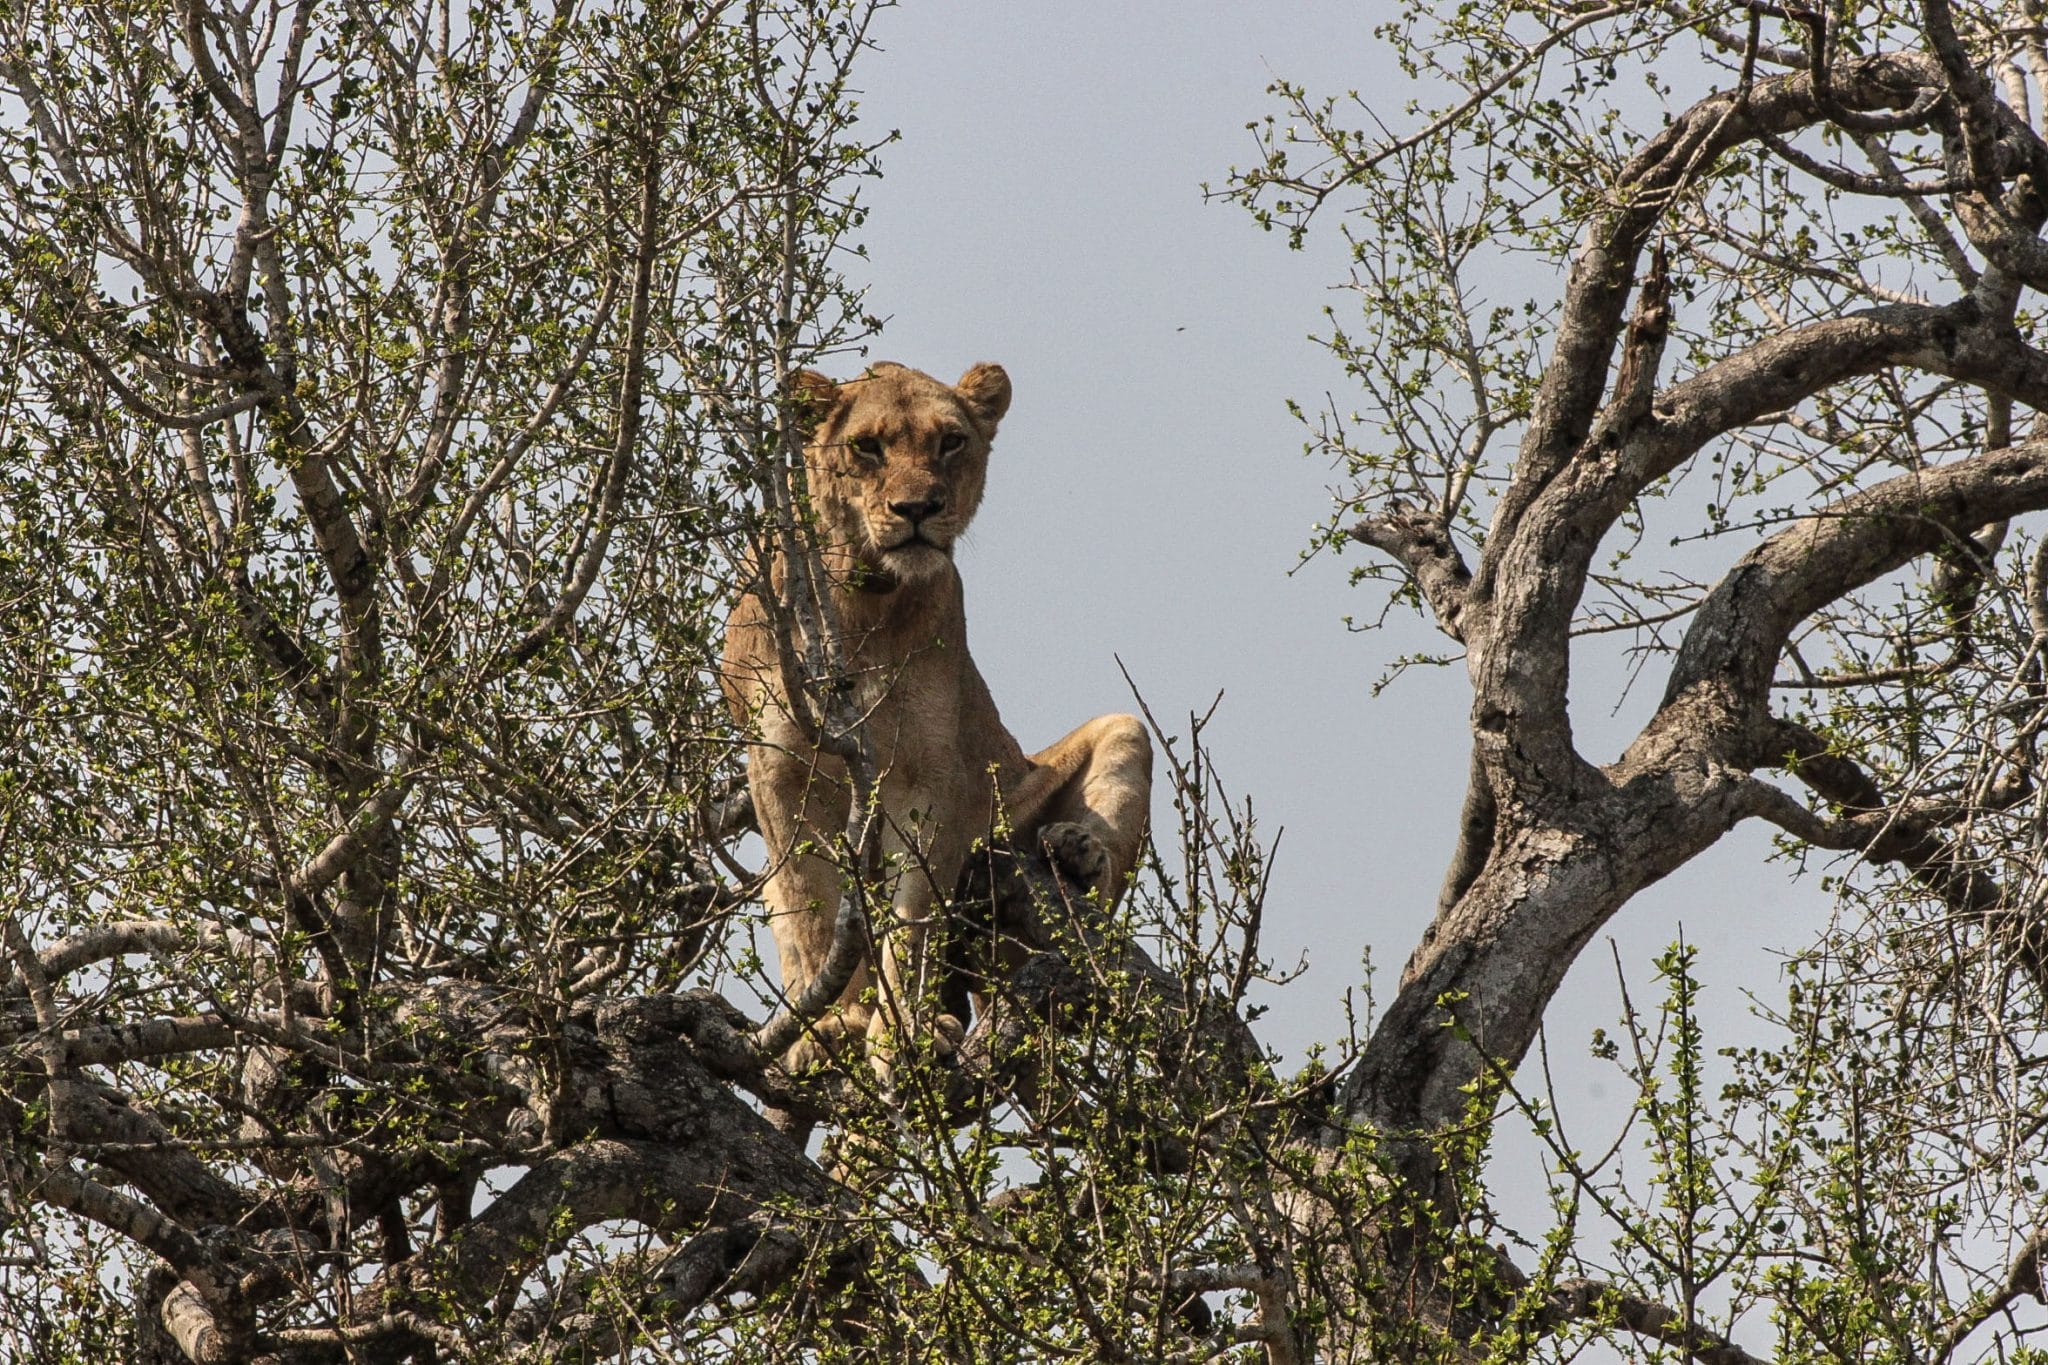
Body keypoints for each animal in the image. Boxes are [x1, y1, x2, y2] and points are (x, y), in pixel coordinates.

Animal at [721, 361, 1153, 1069]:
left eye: (950, 442)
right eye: (867, 446)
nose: (918, 509)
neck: (865, 603)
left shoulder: (933, 779)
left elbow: (912, 920)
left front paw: (901, 1034)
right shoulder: (780, 768)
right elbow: (810, 908)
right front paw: (832, 1024)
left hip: (1116, 734)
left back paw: (1075, 851)